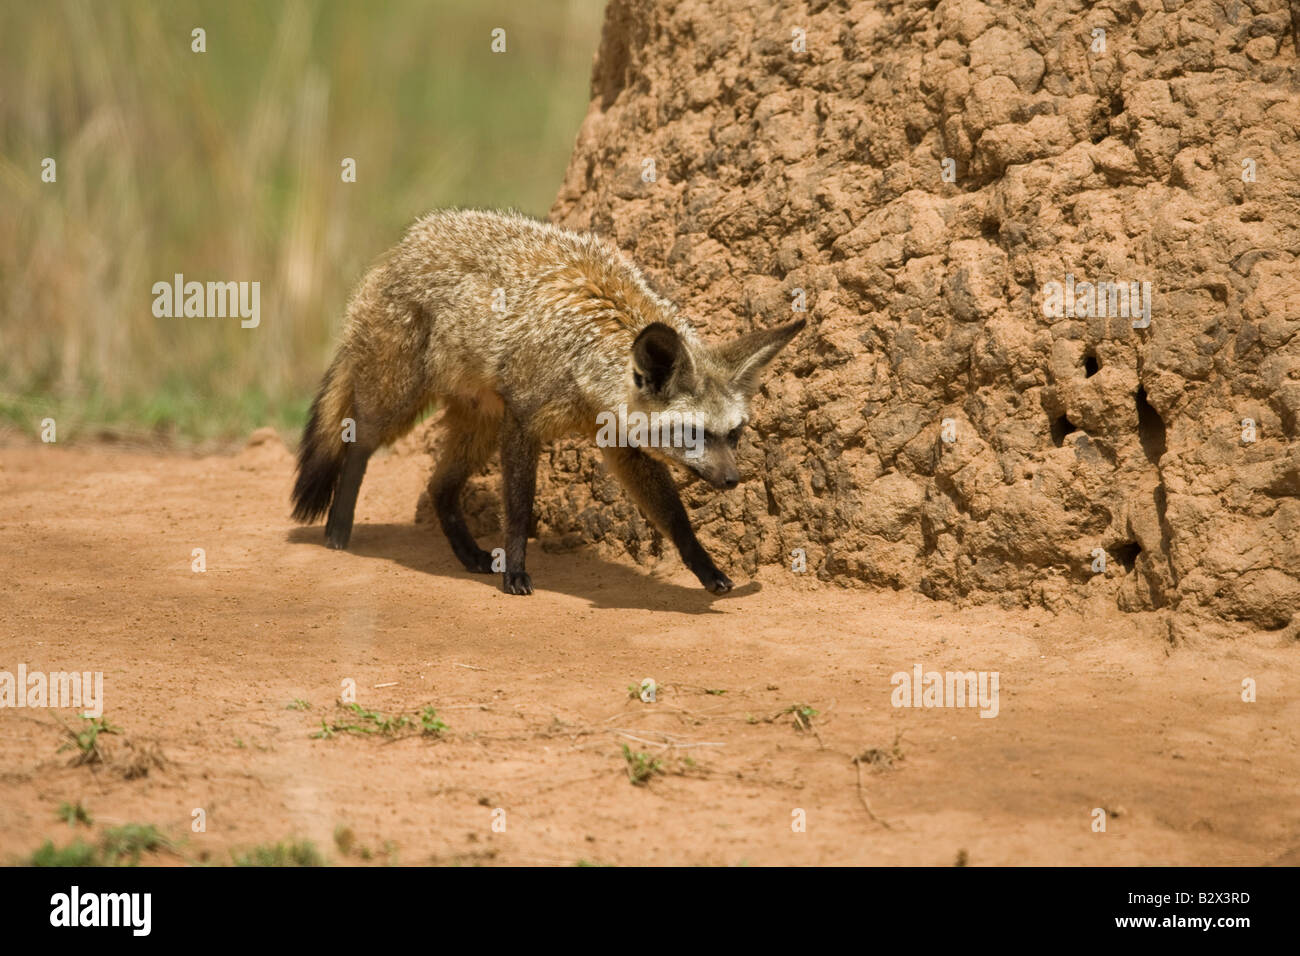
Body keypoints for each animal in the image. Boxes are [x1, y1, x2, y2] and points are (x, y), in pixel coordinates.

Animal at [291, 208, 804, 596]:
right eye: (693, 434)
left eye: (733, 434)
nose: (733, 480)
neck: (584, 360)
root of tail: (404, 246)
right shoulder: (523, 421)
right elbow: (519, 509)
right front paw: (516, 570)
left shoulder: (621, 446)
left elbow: (675, 517)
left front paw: (705, 567)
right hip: (398, 401)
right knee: (357, 446)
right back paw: (338, 532)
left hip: (476, 426)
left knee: (439, 488)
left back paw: (469, 554)